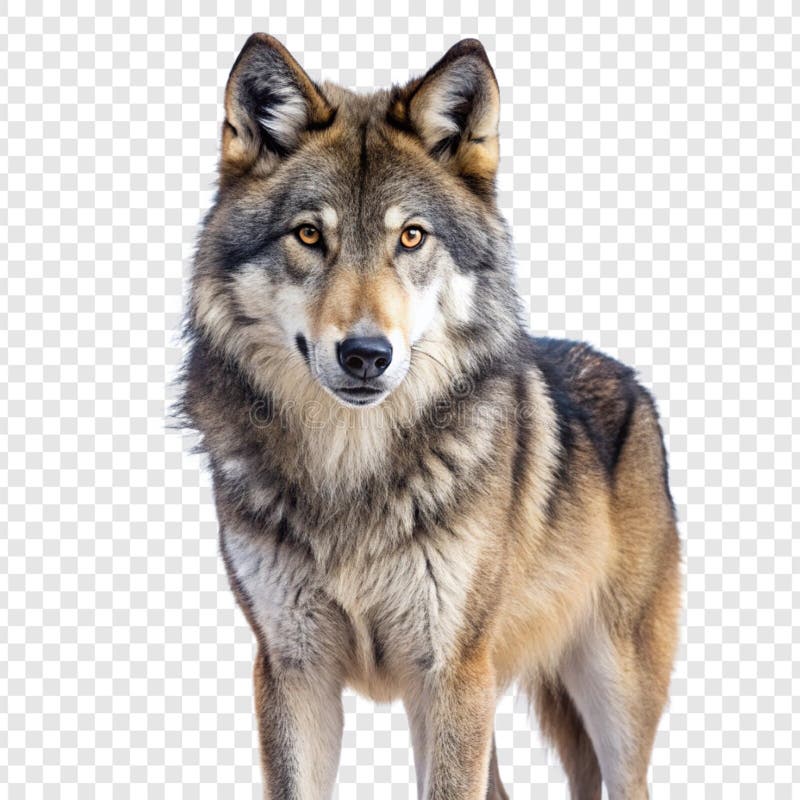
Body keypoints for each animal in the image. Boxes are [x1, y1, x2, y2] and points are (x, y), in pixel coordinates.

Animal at [179, 34, 681, 800]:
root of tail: (633, 380)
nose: (365, 354)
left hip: (604, 696)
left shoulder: (448, 675)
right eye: (308, 235)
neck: (350, 467)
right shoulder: (294, 670)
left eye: (411, 237)